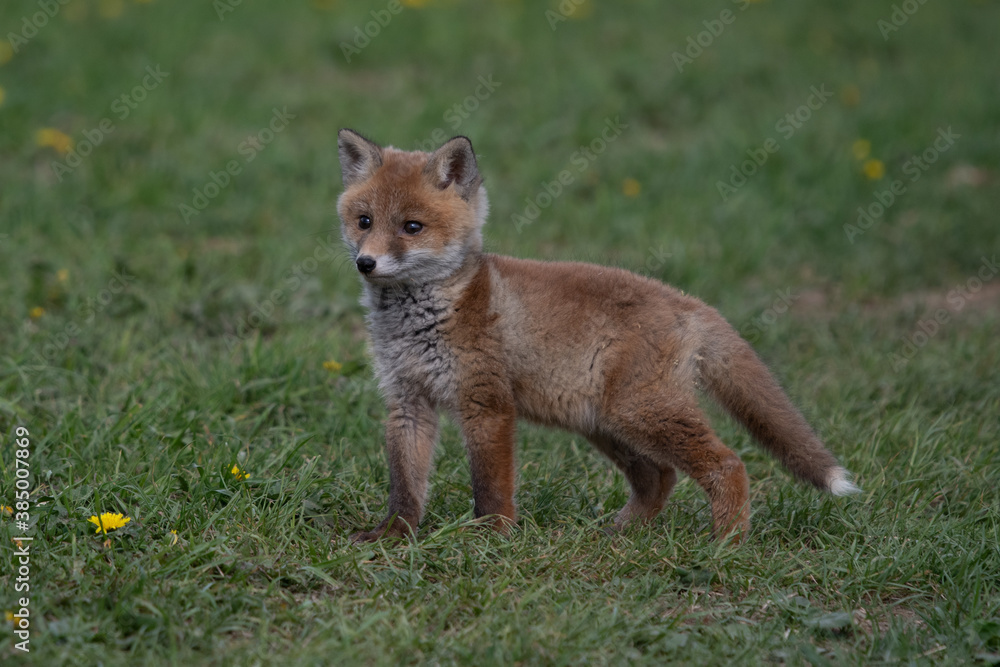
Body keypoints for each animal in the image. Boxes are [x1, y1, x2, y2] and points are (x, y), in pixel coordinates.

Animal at [336, 128, 860, 544]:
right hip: (604, 422)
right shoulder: (408, 402)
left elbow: (490, 487)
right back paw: (618, 534)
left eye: (412, 227)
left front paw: (491, 539)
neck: (423, 318)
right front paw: (394, 536)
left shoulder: (487, 403)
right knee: (659, 477)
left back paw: (726, 546)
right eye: (364, 221)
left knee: (727, 464)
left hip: (640, 414)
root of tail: (689, 301)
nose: (365, 263)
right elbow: (405, 486)